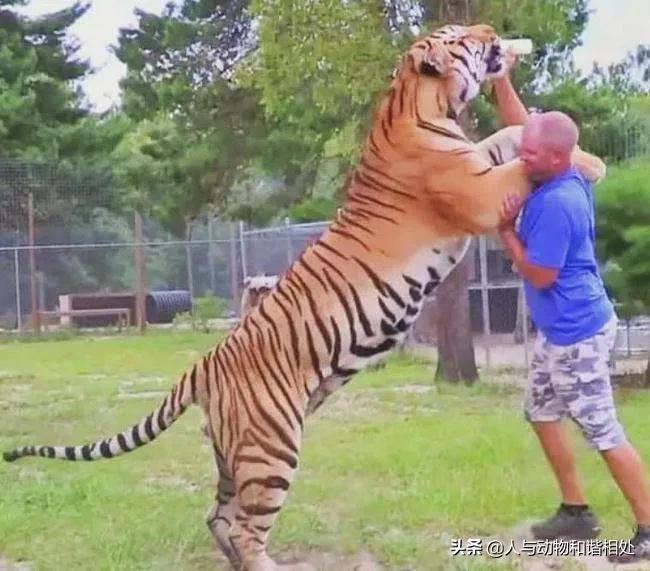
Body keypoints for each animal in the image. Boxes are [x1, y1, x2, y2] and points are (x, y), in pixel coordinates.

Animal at [3, 24, 606, 571]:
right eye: (461, 36)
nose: (492, 31)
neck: (416, 101)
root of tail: (203, 364)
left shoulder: (477, 159)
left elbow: (506, 140)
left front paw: (583, 157)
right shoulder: (479, 192)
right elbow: (519, 159)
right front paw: (576, 155)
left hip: (233, 455)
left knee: (218, 516)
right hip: (271, 447)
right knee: (245, 528)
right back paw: (264, 565)